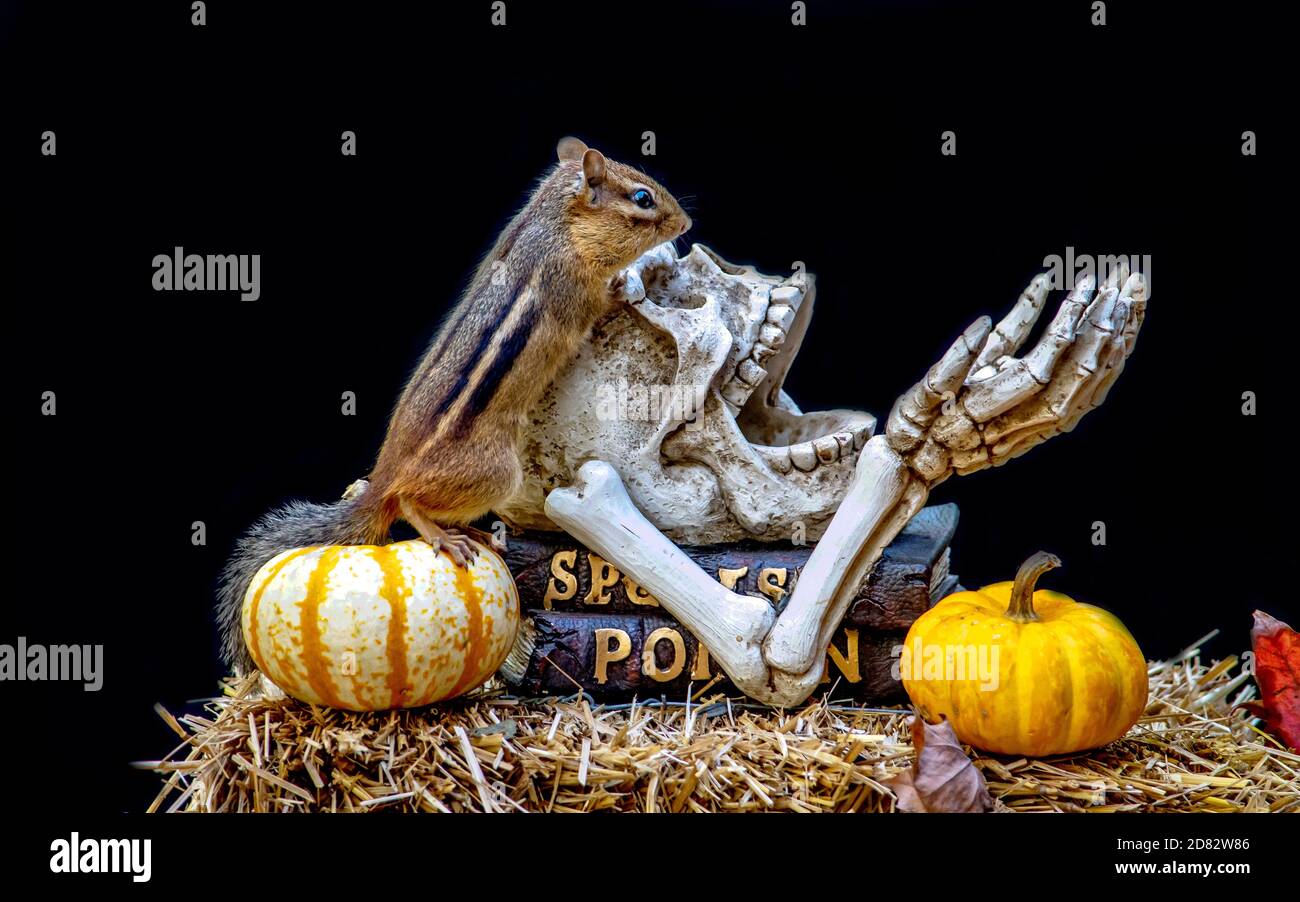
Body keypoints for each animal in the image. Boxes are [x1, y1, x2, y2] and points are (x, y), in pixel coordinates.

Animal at [217, 137, 691, 674]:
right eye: (643, 198)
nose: (685, 223)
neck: (557, 227)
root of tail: (383, 478)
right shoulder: (575, 290)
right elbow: (602, 303)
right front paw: (628, 288)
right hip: (497, 473)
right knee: (408, 501)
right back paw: (441, 533)